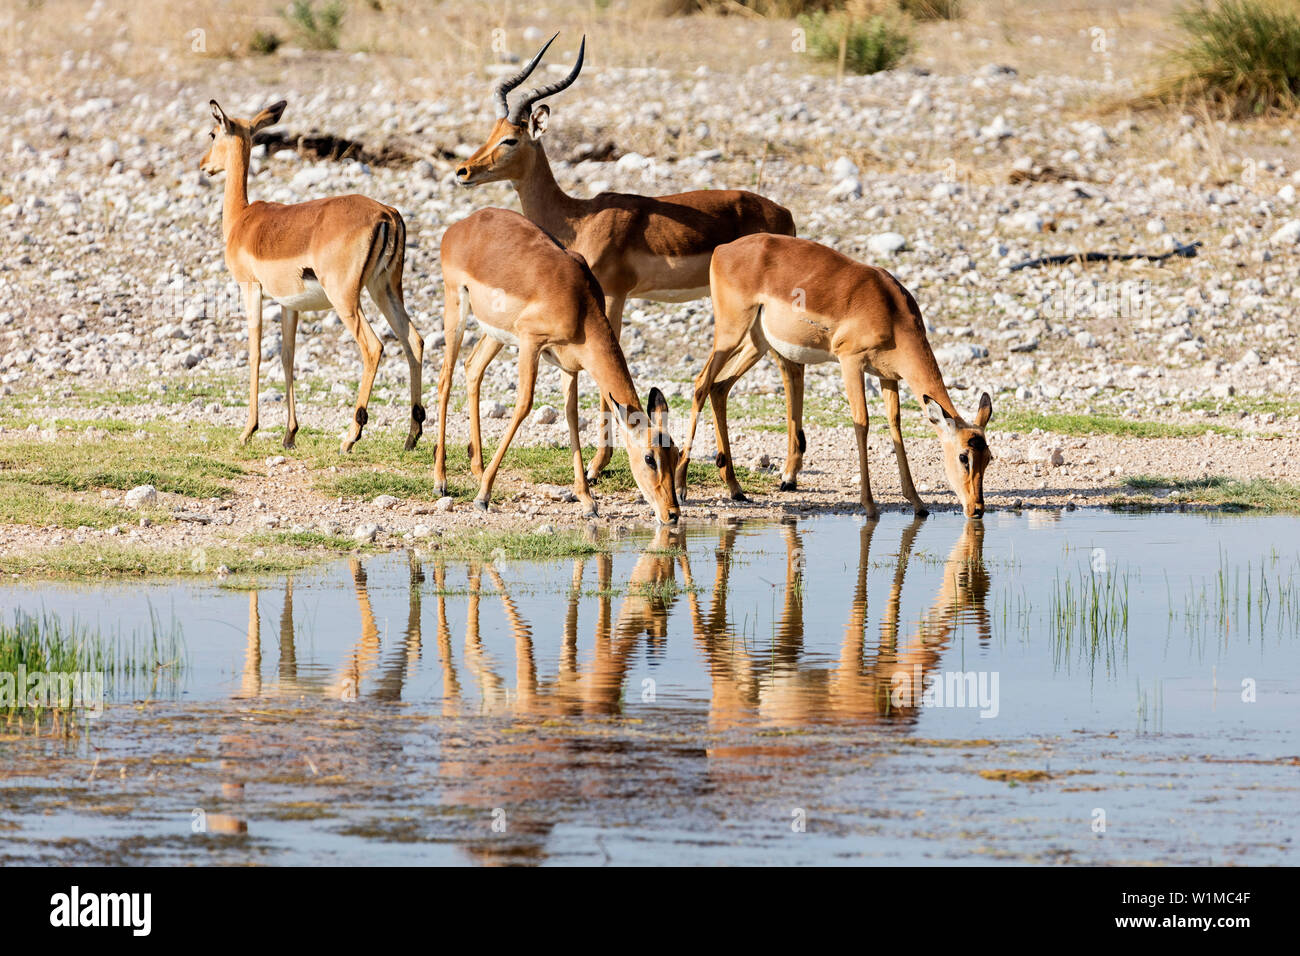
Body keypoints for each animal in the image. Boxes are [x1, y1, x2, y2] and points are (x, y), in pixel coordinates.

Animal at [200, 99, 425, 453]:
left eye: (213, 133)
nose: (204, 165)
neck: (243, 220)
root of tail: (387, 214)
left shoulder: (251, 288)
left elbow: (256, 353)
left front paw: (248, 430)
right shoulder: (288, 304)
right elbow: (287, 357)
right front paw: (289, 434)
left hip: (346, 299)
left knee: (374, 347)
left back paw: (351, 437)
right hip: (384, 289)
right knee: (413, 340)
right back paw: (411, 436)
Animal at [434, 207, 681, 524]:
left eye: (675, 453)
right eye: (650, 458)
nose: (672, 513)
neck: (578, 301)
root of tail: (461, 226)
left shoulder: (569, 365)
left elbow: (571, 415)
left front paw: (587, 501)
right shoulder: (531, 343)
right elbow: (523, 405)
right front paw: (483, 496)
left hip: (495, 333)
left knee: (472, 367)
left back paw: (477, 469)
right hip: (456, 308)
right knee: (445, 378)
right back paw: (441, 481)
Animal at [454, 34, 797, 484]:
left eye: (511, 139)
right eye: (491, 131)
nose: (463, 171)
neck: (579, 218)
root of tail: (785, 215)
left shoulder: (614, 297)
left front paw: (597, 466)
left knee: (786, 370)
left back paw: (783, 474)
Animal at [678, 234, 994, 518]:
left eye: (989, 457)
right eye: (963, 456)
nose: (977, 509)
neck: (890, 311)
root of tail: (723, 249)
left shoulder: (888, 376)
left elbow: (895, 425)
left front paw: (917, 503)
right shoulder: (850, 362)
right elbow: (862, 422)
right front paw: (869, 506)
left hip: (757, 343)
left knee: (719, 388)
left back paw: (736, 489)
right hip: (729, 334)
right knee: (701, 384)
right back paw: (681, 486)